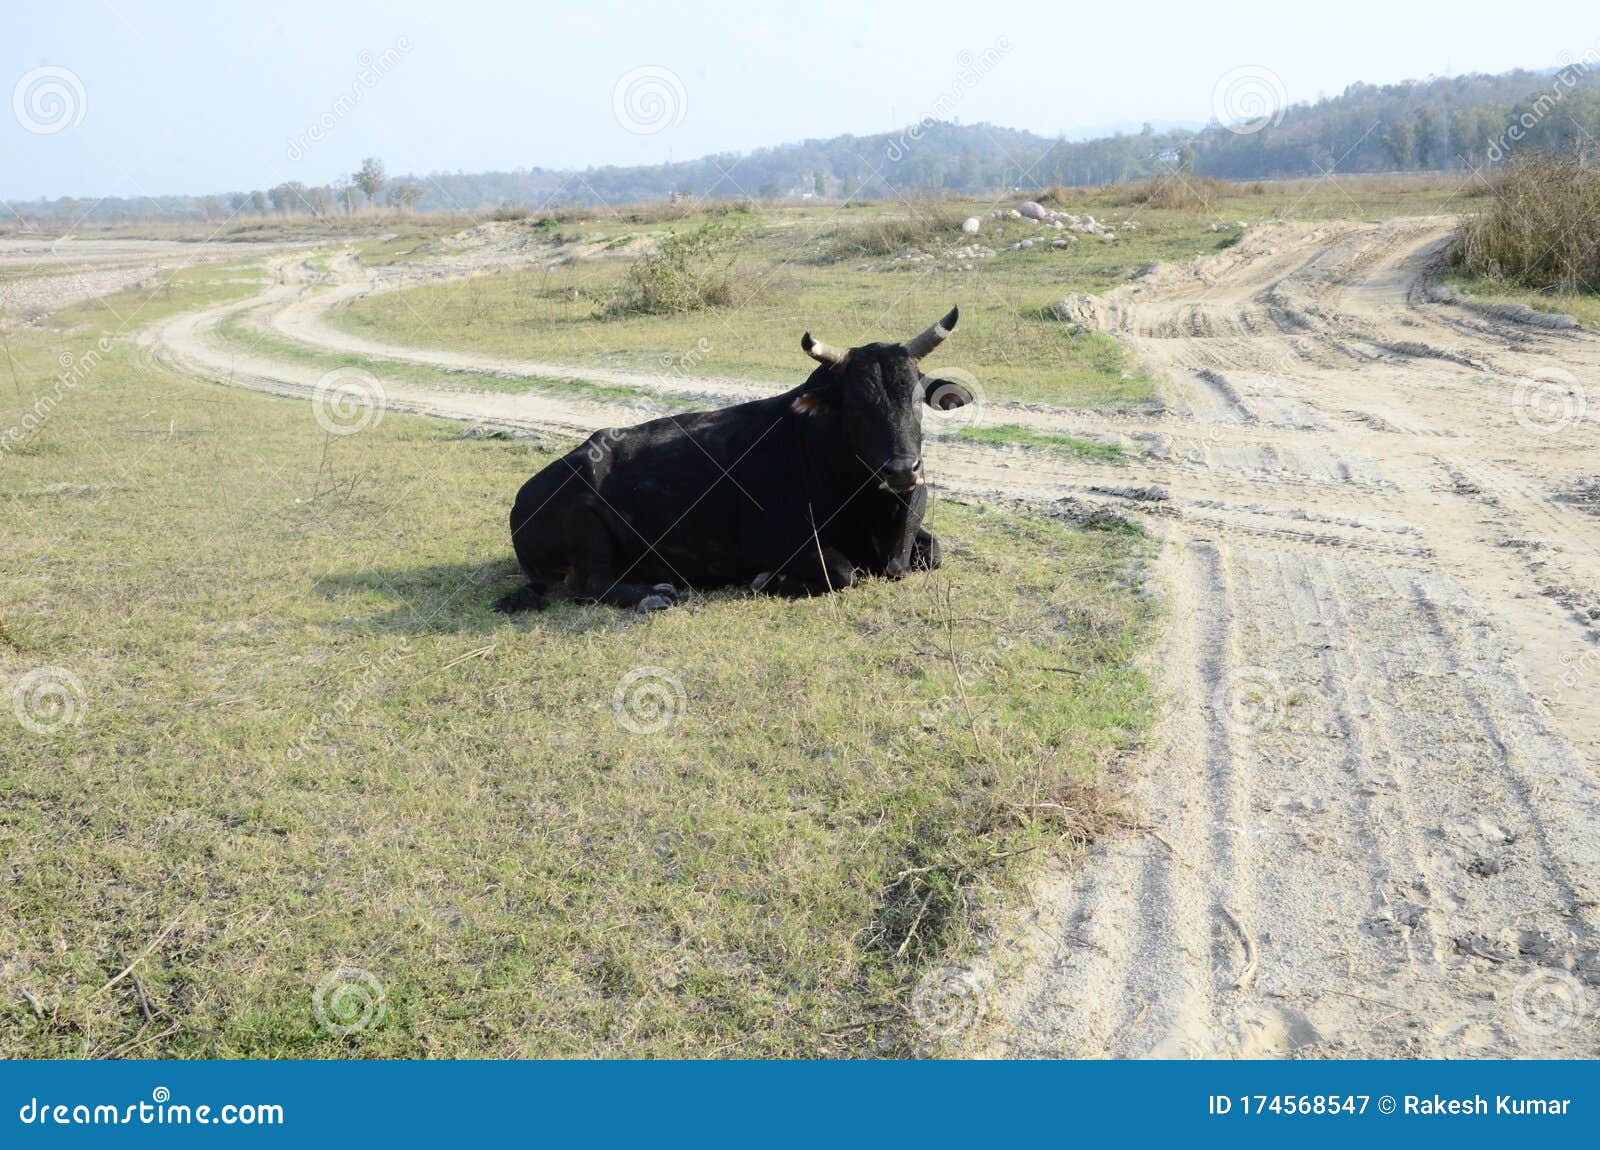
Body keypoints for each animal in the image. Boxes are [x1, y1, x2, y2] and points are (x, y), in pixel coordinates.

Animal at [495, 307, 971, 612]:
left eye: (917, 397)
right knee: (589, 584)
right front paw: (769, 581)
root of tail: (523, 497)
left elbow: (935, 551)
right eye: (855, 404)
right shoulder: (773, 543)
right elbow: (842, 570)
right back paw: (653, 594)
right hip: (585, 524)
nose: (902, 469)